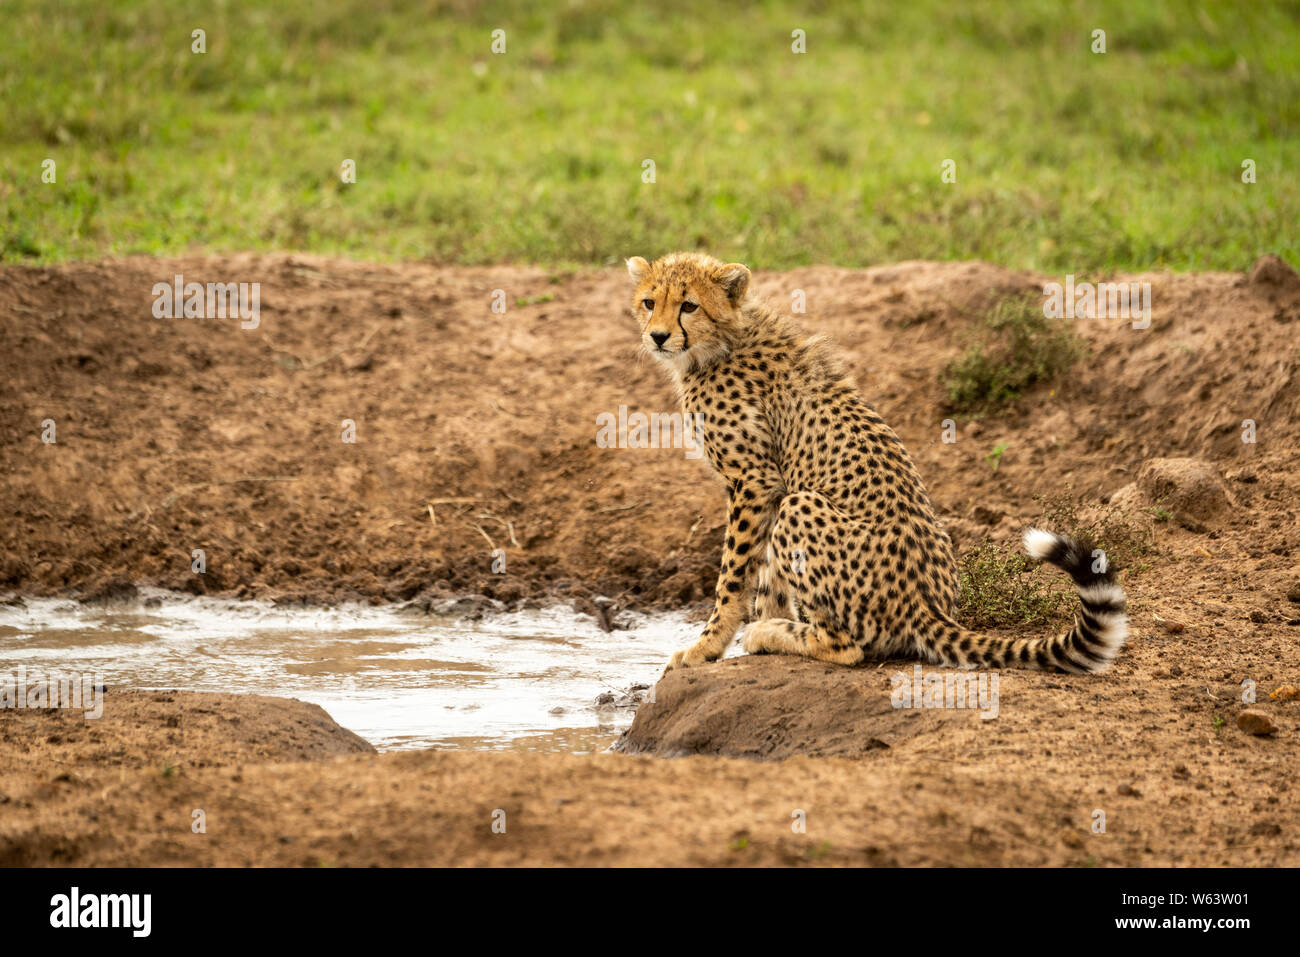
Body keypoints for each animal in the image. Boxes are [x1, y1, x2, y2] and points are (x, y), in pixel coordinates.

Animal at [625, 251, 1127, 676]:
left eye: (688, 306)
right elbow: (767, 575)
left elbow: (733, 575)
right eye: (649, 302)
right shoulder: (768, 486)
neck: (721, 344)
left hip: (801, 504)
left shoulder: (755, 482)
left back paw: (772, 634)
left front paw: (706, 647)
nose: (658, 336)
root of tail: (927, 605)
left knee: (847, 647)